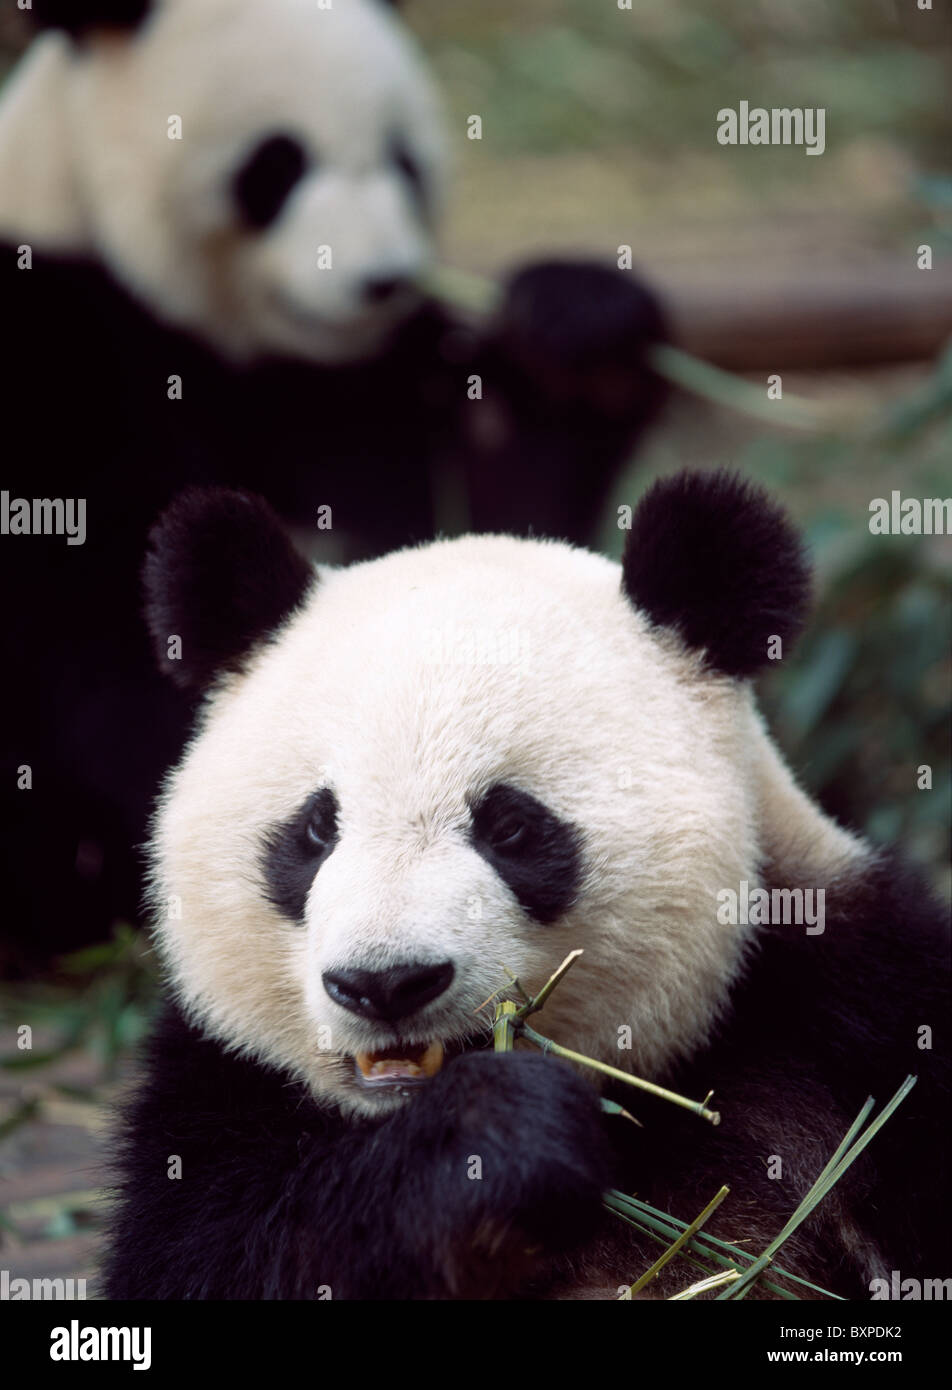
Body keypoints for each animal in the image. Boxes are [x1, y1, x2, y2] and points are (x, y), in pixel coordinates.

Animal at [0, 0, 667, 958]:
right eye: (276, 166)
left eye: (404, 160)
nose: (381, 279)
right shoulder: (57, 347)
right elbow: (108, 631)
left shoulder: (348, 389)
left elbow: (476, 523)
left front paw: (581, 332)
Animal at [103, 471, 949, 1300]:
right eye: (316, 829)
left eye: (508, 826)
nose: (385, 983)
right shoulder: (215, 1092)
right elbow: (224, 1255)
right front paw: (499, 1138)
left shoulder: (850, 1004)